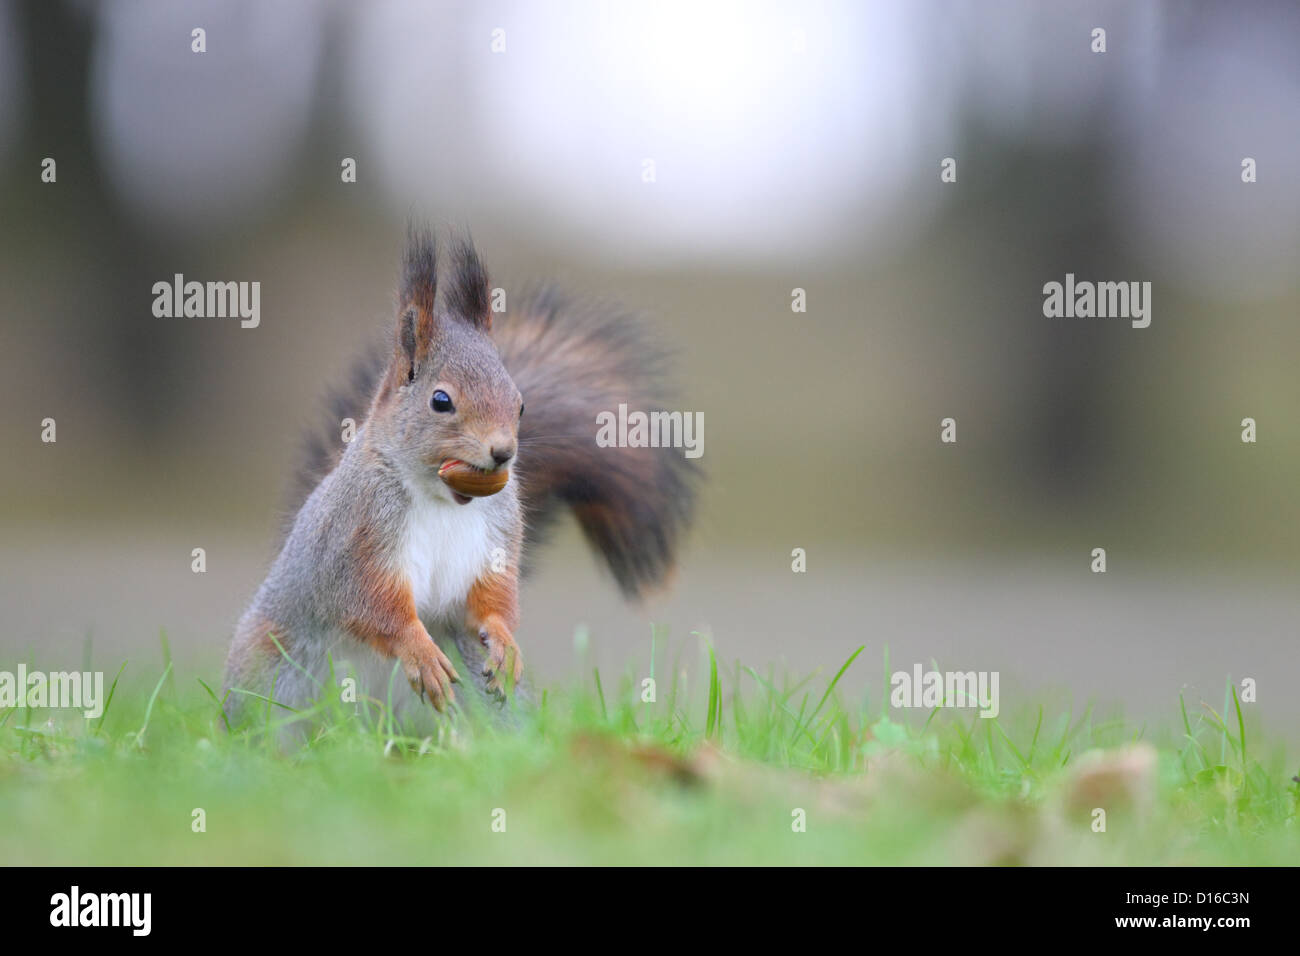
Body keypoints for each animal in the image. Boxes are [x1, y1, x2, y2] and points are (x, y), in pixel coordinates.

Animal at [222, 227, 697, 728]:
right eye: (441, 401)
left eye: (520, 404)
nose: (503, 452)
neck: (443, 496)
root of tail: (378, 726)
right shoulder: (355, 536)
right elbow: (371, 605)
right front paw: (420, 651)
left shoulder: (499, 532)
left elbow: (492, 598)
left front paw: (504, 640)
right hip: (272, 670)